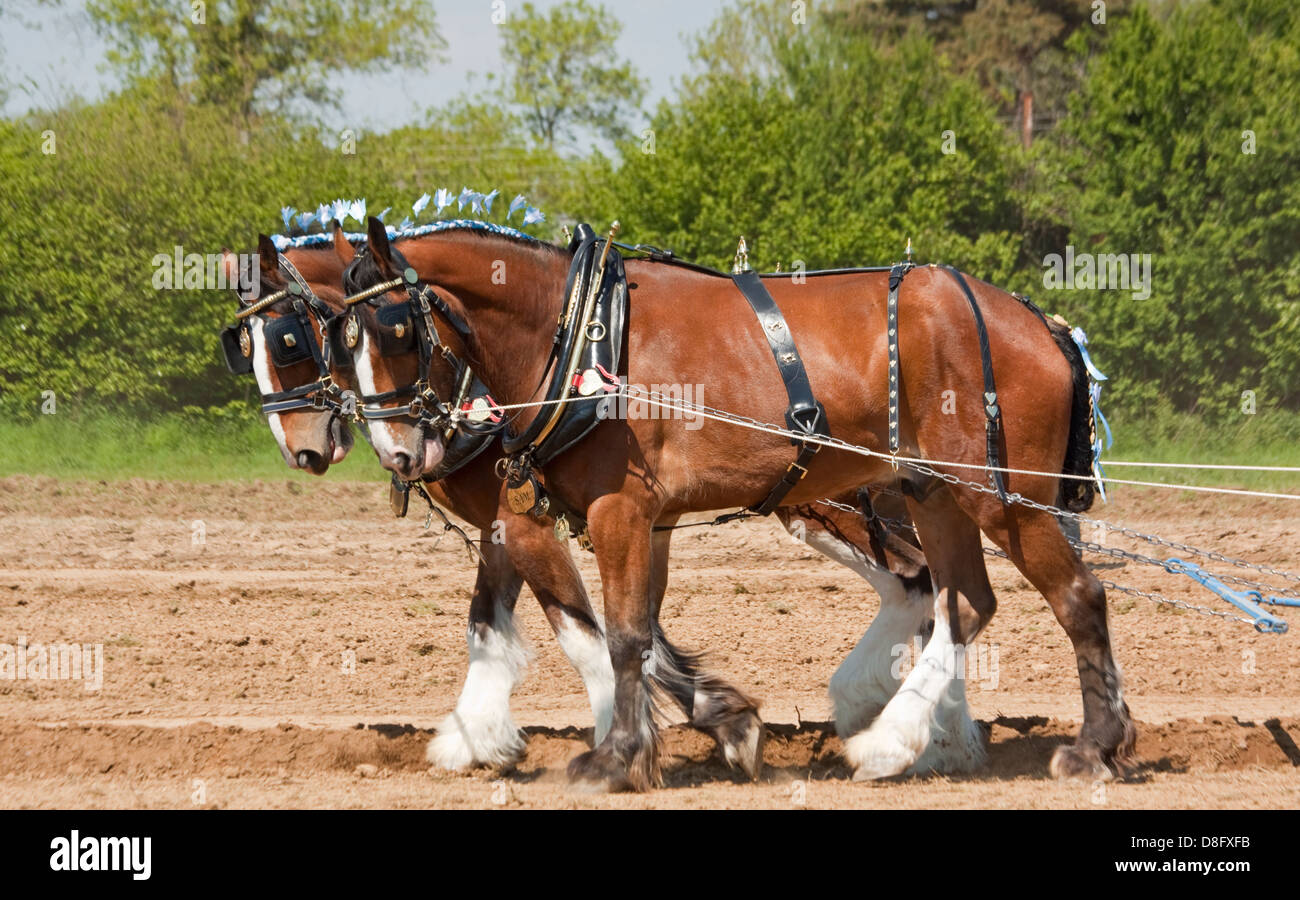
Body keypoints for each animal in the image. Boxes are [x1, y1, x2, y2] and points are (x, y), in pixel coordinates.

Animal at [221, 230, 980, 777]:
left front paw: (653, 732)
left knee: (922, 584)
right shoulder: (522, 520)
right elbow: (498, 623)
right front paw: (476, 737)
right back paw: (934, 733)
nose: (303, 450)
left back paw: (924, 729)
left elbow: (590, 633)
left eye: (289, 340)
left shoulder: (535, 518)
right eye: (243, 347)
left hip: (844, 504)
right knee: (928, 587)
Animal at [342, 214, 1127, 792]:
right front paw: (711, 729)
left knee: (1076, 598)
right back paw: (891, 744)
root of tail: (1043, 325)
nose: (399, 454)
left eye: (398, 329)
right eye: (341, 340)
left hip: (1001, 498)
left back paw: (1091, 747)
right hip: (935, 493)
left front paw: (614, 757)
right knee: (962, 603)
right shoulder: (642, 521)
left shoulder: (617, 511)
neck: (582, 333)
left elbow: (622, 636)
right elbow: (636, 633)